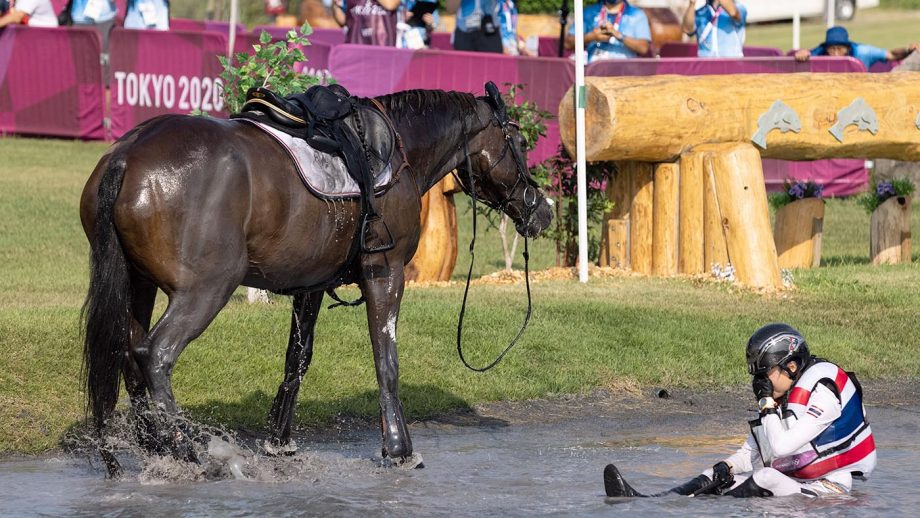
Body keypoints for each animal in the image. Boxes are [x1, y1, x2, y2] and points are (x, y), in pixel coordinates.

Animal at [79, 84, 554, 475]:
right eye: (520, 142)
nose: (543, 209)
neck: (399, 150)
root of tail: (126, 155)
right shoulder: (385, 273)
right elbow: (386, 359)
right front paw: (398, 448)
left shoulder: (310, 285)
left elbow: (298, 358)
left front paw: (279, 440)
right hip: (205, 290)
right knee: (155, 354)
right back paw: (184, 450)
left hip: (138, 284)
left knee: (129, 353)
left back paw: (155, 447)